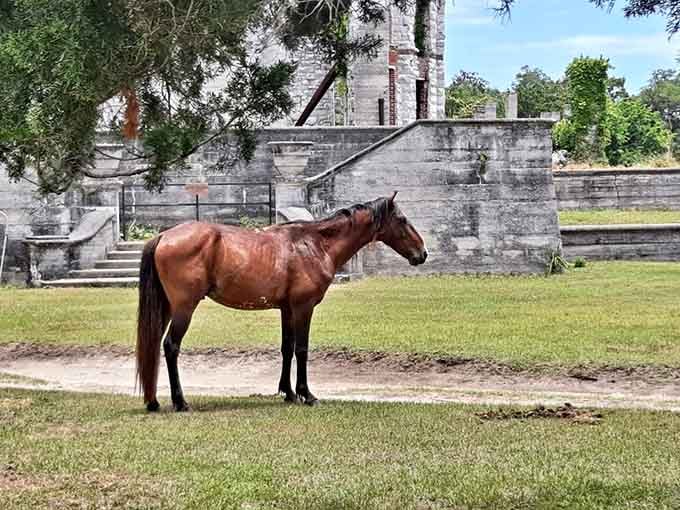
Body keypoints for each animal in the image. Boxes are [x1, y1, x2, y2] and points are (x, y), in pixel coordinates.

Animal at [136, 192, 427, 412]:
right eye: (402, 219)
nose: (422, 253)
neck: (314, 244)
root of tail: (163, 236)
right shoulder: (303, 308)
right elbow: (302, 349)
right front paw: (307, 395)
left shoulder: (287, 309)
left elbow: (287, 348)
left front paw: (288, 393)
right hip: (184, 308)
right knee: (171, 346)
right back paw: (180, 402)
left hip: (167, 308)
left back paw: (154, 401)